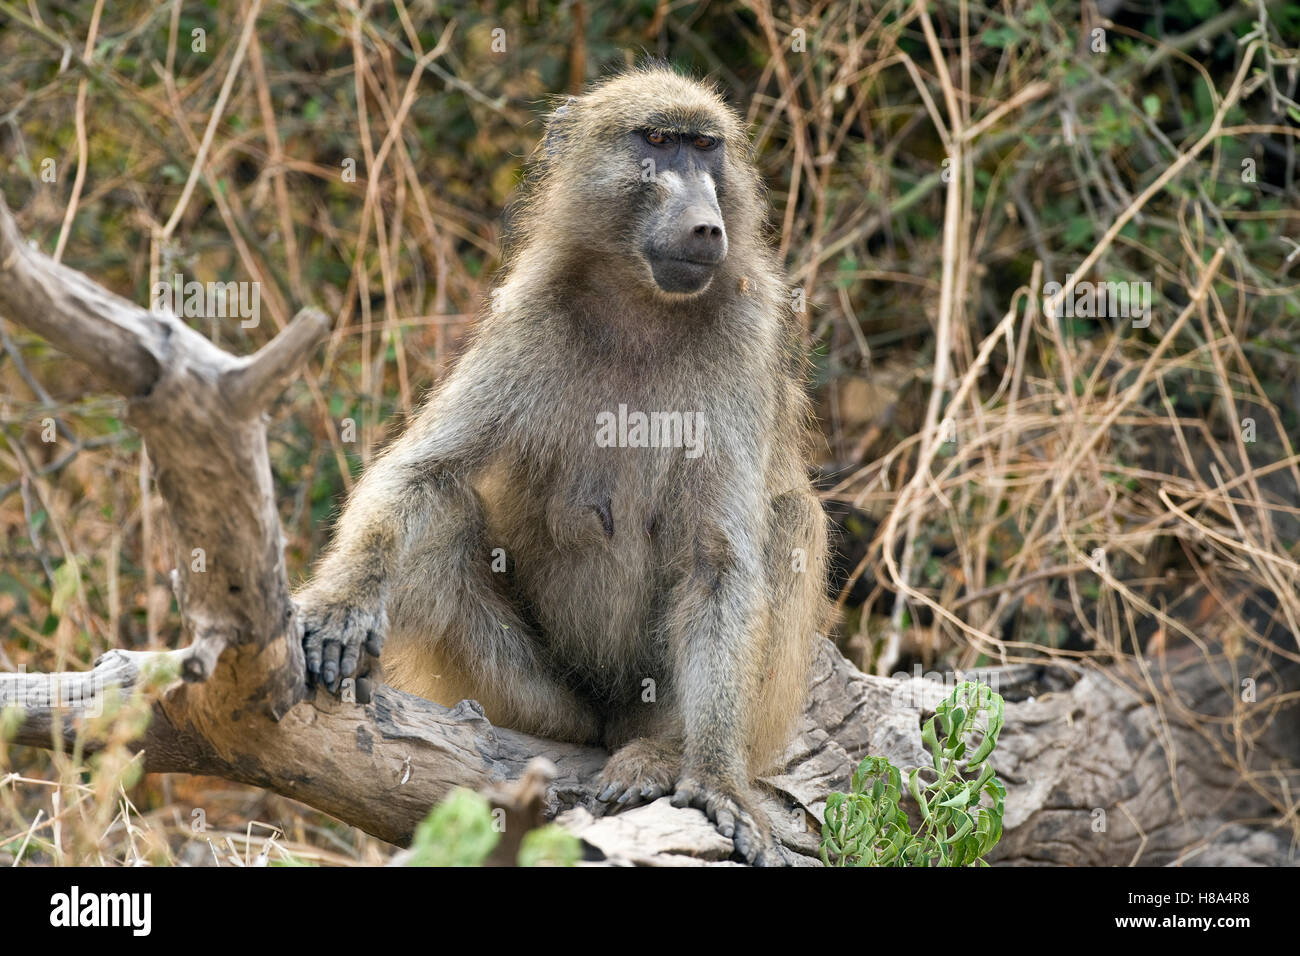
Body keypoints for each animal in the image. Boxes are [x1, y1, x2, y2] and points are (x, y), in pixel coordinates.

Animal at [295, 66, 833, 865]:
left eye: (706, 148)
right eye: (657, 141)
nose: (707, 226)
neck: (642, 303)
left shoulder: (746, 330)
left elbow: (718, 557)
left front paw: (714, 778)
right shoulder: (527, 314)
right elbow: (423, 474)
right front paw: (338, 606)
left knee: (792, 518)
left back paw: (659, 755)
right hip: (536, 699)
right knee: (447, 511)